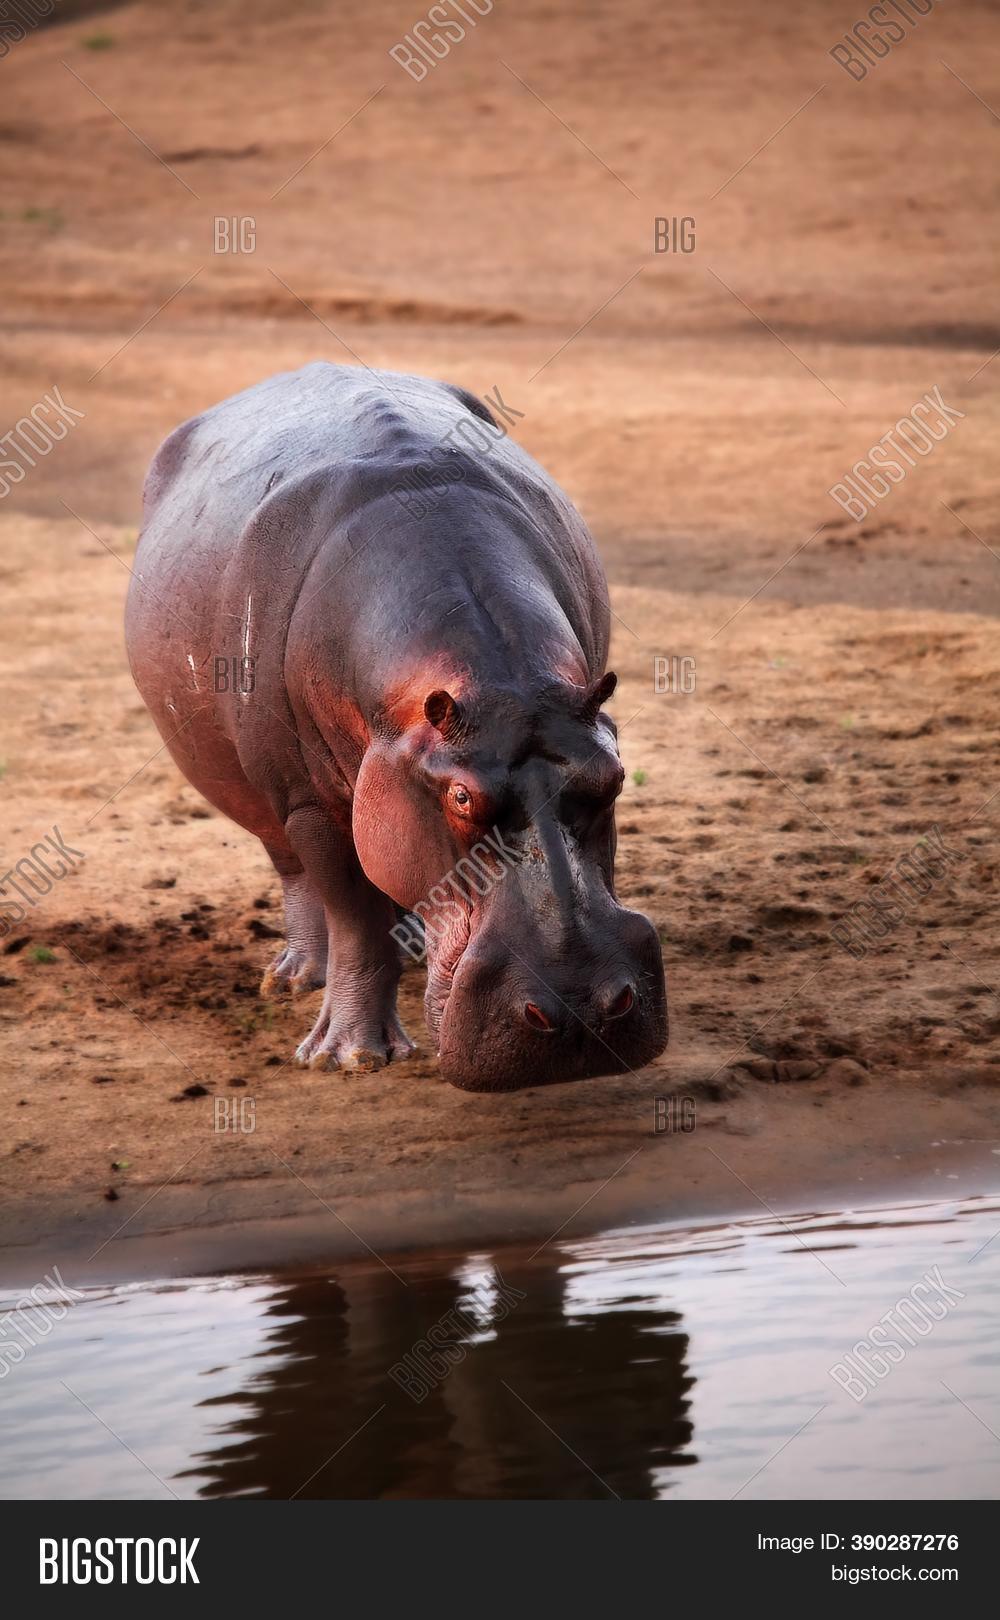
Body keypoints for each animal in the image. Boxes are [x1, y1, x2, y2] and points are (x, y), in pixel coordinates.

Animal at [125, 362, 667, 1091]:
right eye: (461, 797)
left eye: (612, 777)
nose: (582, 1009)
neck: (502, 686)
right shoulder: (309, 801)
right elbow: (351, 913)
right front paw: (350, 1056)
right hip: (263, 793)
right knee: (297, 874)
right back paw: (296, 978)